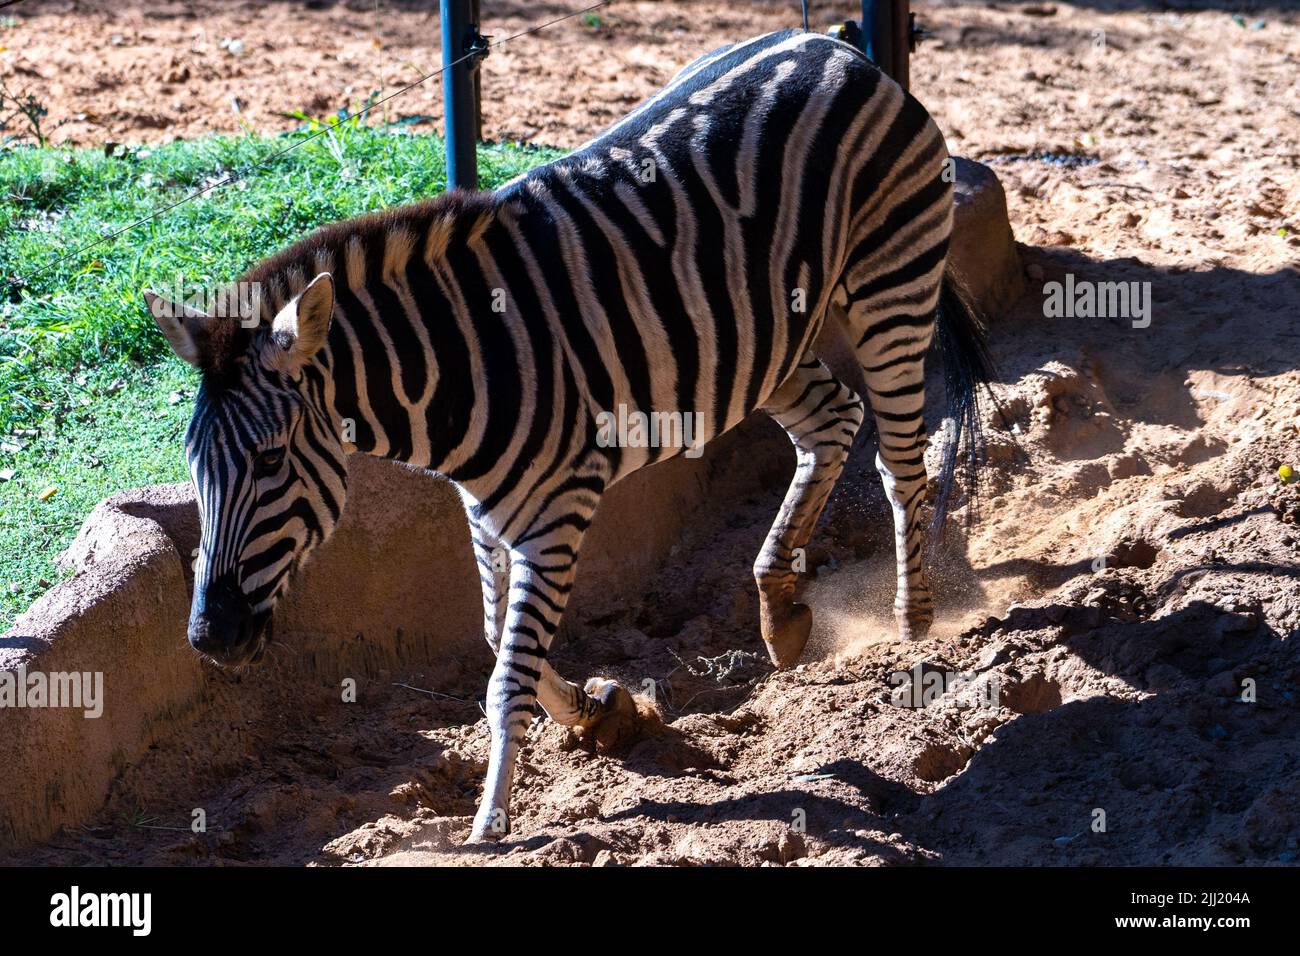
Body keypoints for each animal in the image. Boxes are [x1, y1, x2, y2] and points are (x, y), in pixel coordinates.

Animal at [146, 29, 994, 843]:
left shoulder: (559, 512)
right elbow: (498, 635)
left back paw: (914, 619)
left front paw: (490, 821)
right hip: (766, 341)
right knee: (833, 421)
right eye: (193, 467)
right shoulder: (484, 509)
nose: (209, 639)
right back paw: (780, 611)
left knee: (902, 462)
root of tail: (839, 49)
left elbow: (507, 672)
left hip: (891, 285)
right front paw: (602, 714)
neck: (459, 363)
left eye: (270, 460)